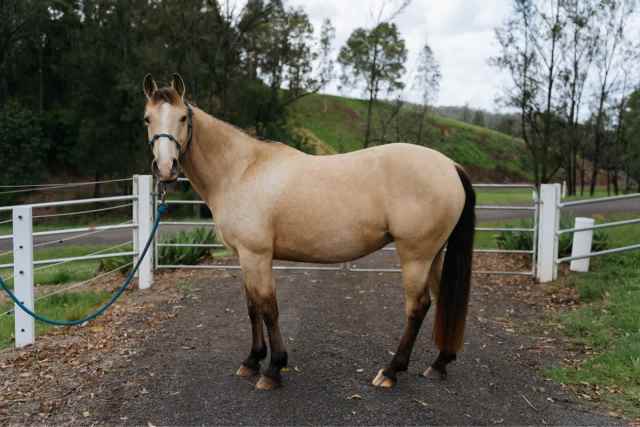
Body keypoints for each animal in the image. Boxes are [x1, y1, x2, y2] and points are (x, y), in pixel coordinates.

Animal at [143, 73, 476, 390]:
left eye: (182, 118)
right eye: (147, 119)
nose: (166, 168)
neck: (242, 171)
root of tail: (449, 165)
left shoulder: (257, 255)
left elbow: (268, 308)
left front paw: (273, 370)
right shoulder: (243, 258)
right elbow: (252, 307)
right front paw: (251, 361)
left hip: (415, 256)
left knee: (418, 307)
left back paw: (391, 371)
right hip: (433, 255)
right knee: (438, 300)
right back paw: (439, 364)